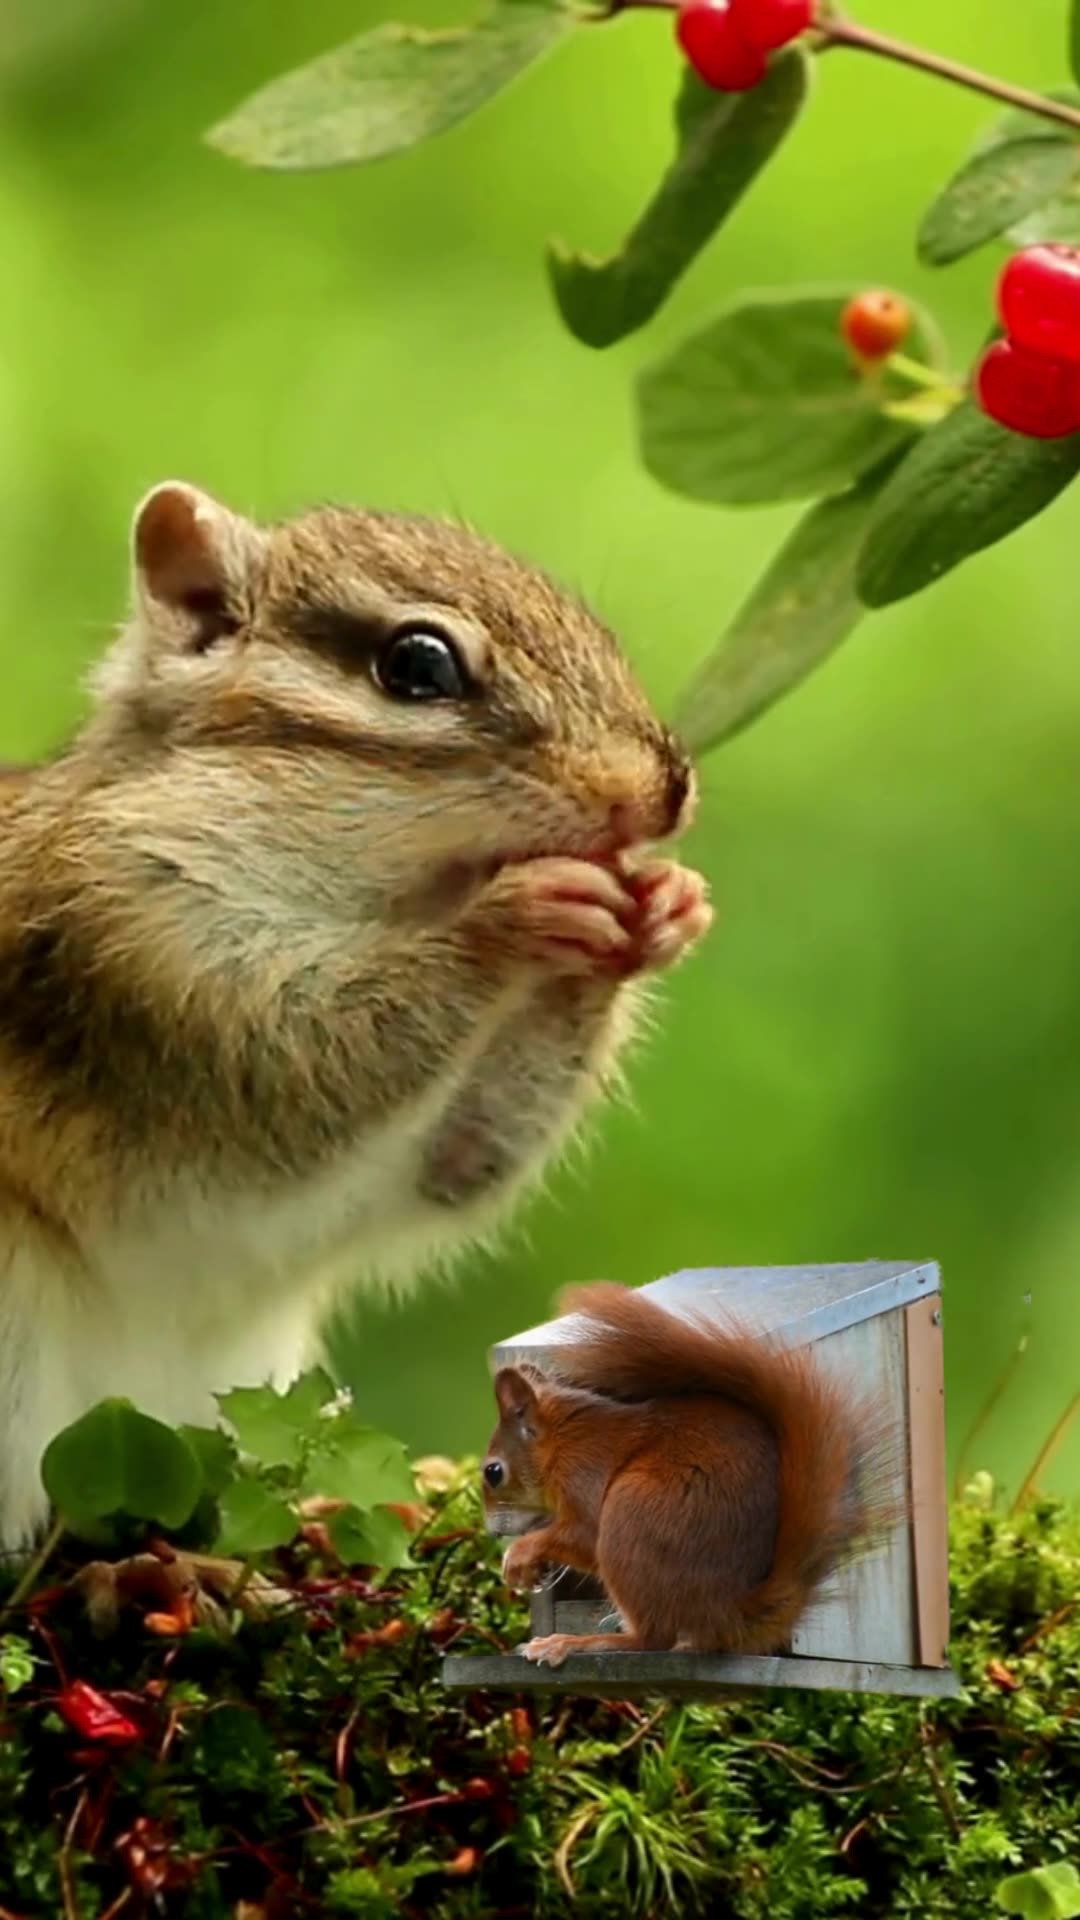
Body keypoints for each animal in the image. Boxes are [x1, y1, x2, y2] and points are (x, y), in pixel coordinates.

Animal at [0, 483, 712, 1549]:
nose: (667, 792)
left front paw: (664, 908)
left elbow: (453, 1167)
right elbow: (299, 1069)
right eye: (418, 664)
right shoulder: (142, 949)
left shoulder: (407, 1166)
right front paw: (509, 915)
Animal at [482, 1282, 895, 1667]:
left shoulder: (585, 1472)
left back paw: (572, 1643)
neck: (561, 1441)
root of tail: (728, 1611)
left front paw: (520, 1555)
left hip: (632, 1518)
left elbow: (584, 1535)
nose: (491, 1527)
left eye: (493, 1472)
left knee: (652, 1638)